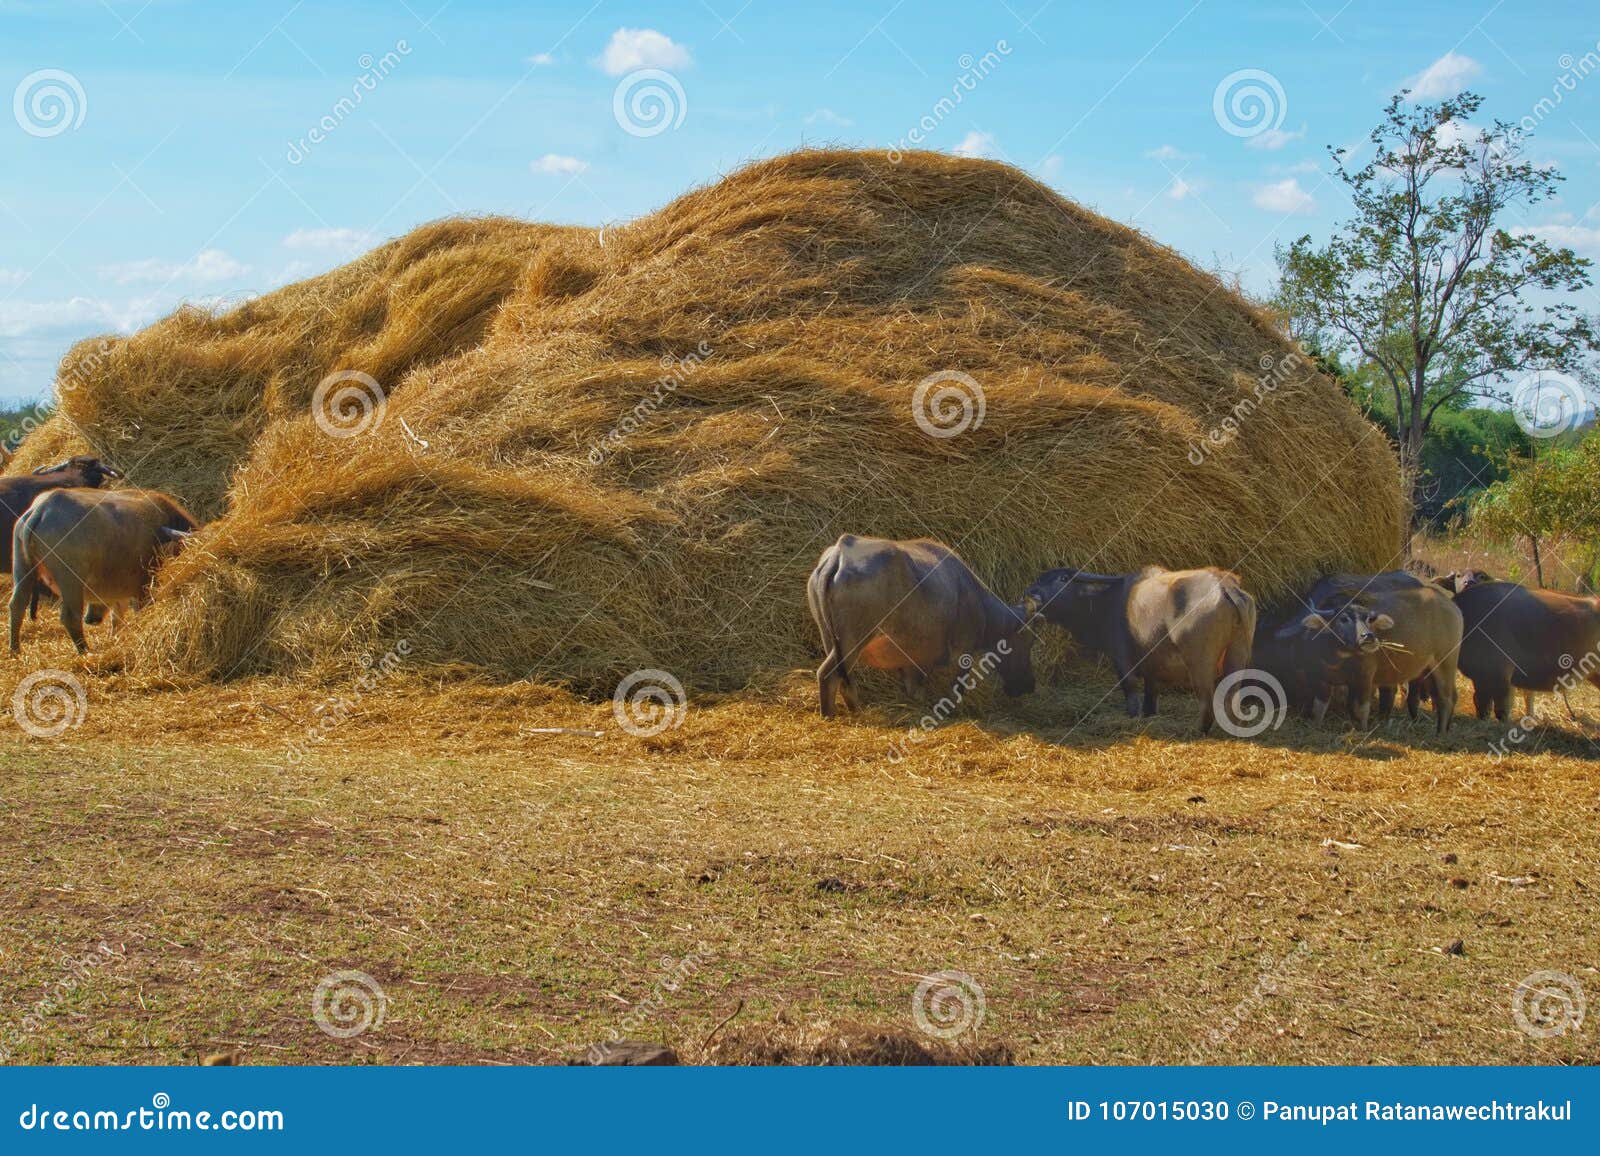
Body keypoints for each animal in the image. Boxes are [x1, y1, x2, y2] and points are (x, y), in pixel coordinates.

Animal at [10, 487, 196, 654]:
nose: (91, 619)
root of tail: (41, 509)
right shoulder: (143, 588)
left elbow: (117, 617)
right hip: (71, 580)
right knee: (70, 616)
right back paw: (85, 651)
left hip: (22, 568)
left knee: (17, 605)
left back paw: (15, 650)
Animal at [806, 534, 1036, 716]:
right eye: (1029, 641)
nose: (1029, 686)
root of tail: (840, 553)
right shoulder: (962, 653)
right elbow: (956, 688)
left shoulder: (911, 660)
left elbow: (914, 688)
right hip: (852, 640)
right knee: (828, 675)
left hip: (830, 639)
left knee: (844, 679)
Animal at [1024, 566, 1256, 733]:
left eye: (1063, 579)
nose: (1032, 595)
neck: (1106, 602)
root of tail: (1224, 586)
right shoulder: (1152, 665)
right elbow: (1151, 693)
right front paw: (1149, 715)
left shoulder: (1121, 659)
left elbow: (1130, 689)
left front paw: (1133, 716)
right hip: (1238, 654)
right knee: (1232, 694)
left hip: (1199, 662)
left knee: (1207, 699)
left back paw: (1198, 730)